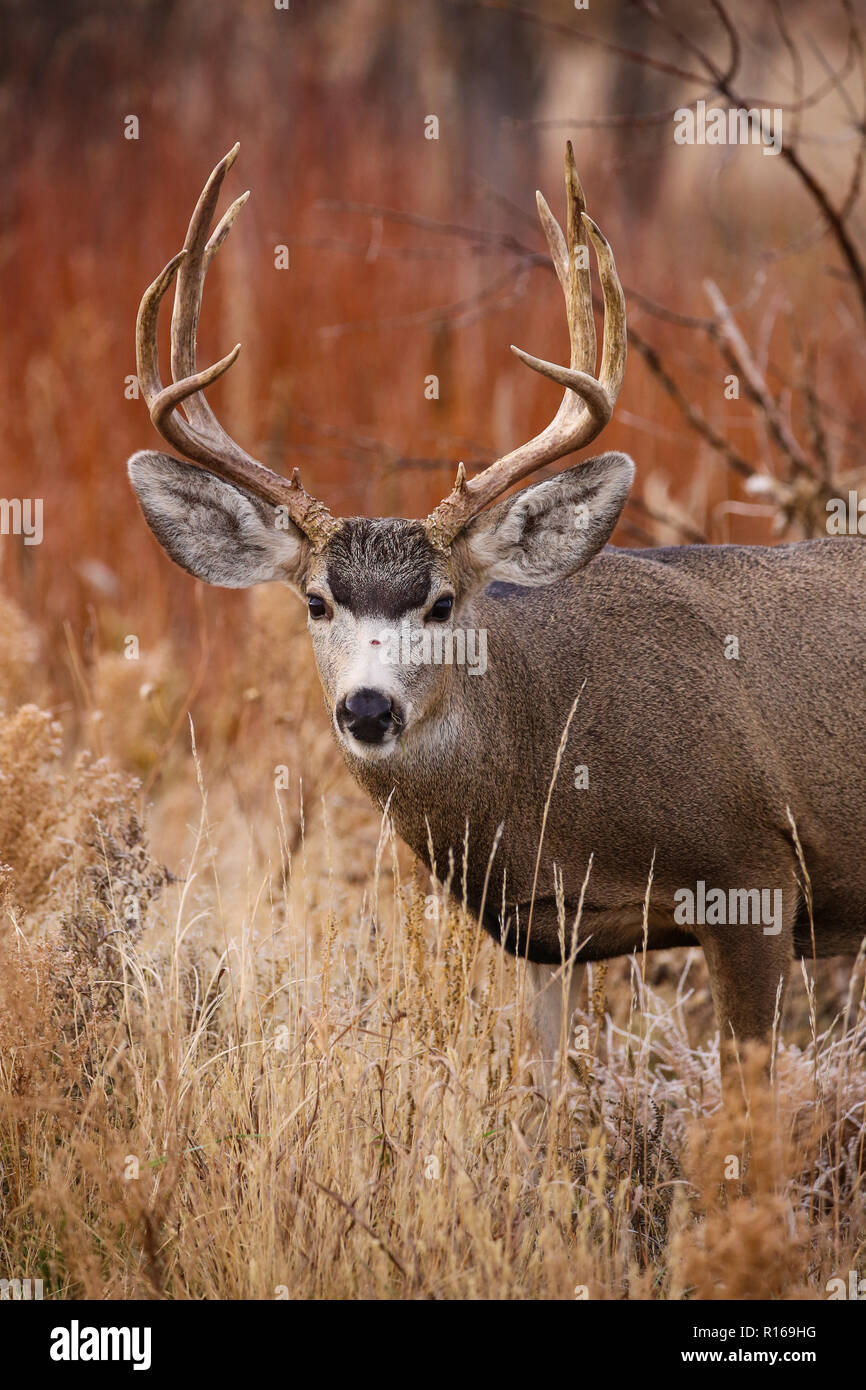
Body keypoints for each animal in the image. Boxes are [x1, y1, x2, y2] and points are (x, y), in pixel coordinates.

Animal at [127, 143, 866, 1078]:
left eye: (443, 602)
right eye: (317, 601)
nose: (367, 708)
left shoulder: (753, 875)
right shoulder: (547, 934)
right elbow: (545, 1090)